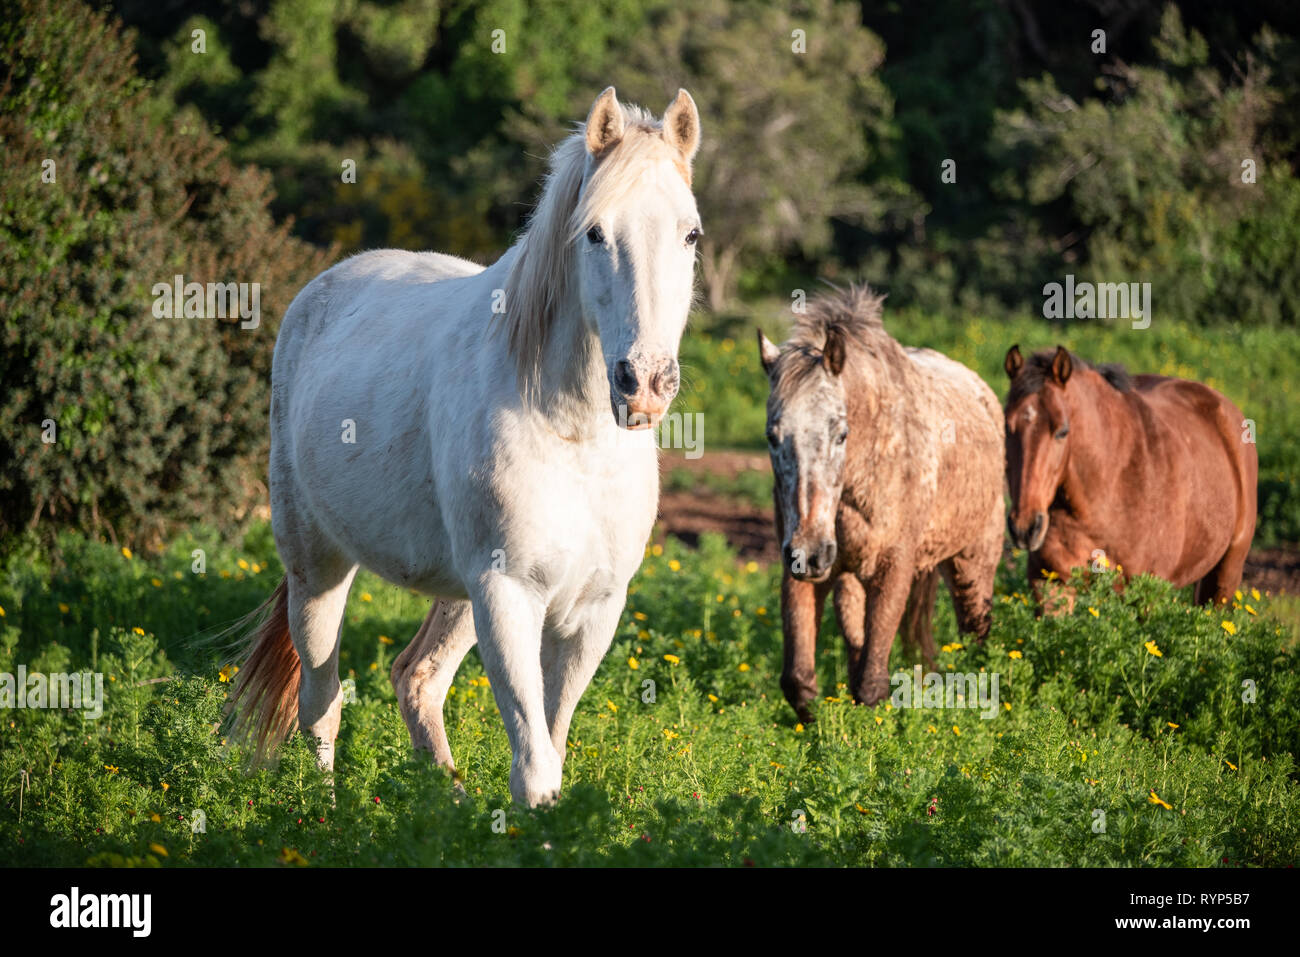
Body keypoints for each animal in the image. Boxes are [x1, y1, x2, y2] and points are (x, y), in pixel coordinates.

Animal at [228, 87, 703, 807]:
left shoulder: (593, 610)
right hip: (318, 567)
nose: (643, 383)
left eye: (690, 233)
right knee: (321, 700)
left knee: (415, 678)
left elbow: (552, 743)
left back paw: (446, 801)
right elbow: (535, 765)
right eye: (595, 233)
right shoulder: (507, 595)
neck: (573, 434)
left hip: (455, 594)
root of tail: (322, 291)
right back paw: (328, 809)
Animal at [757, 286, 1005, 720]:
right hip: (853, 580)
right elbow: (800, 682)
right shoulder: (803, 571)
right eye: (773, 436)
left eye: (841, 433)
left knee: (976, 634)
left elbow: (872, 684)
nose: (811, 551)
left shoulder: (894, 567)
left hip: (973, 565)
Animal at [1002, 345, 1257, 609]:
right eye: (1006, 426)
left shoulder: (1147, 592)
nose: (1025, 528)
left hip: (1224, 577)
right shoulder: (1051, 584)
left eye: (1062, 431)